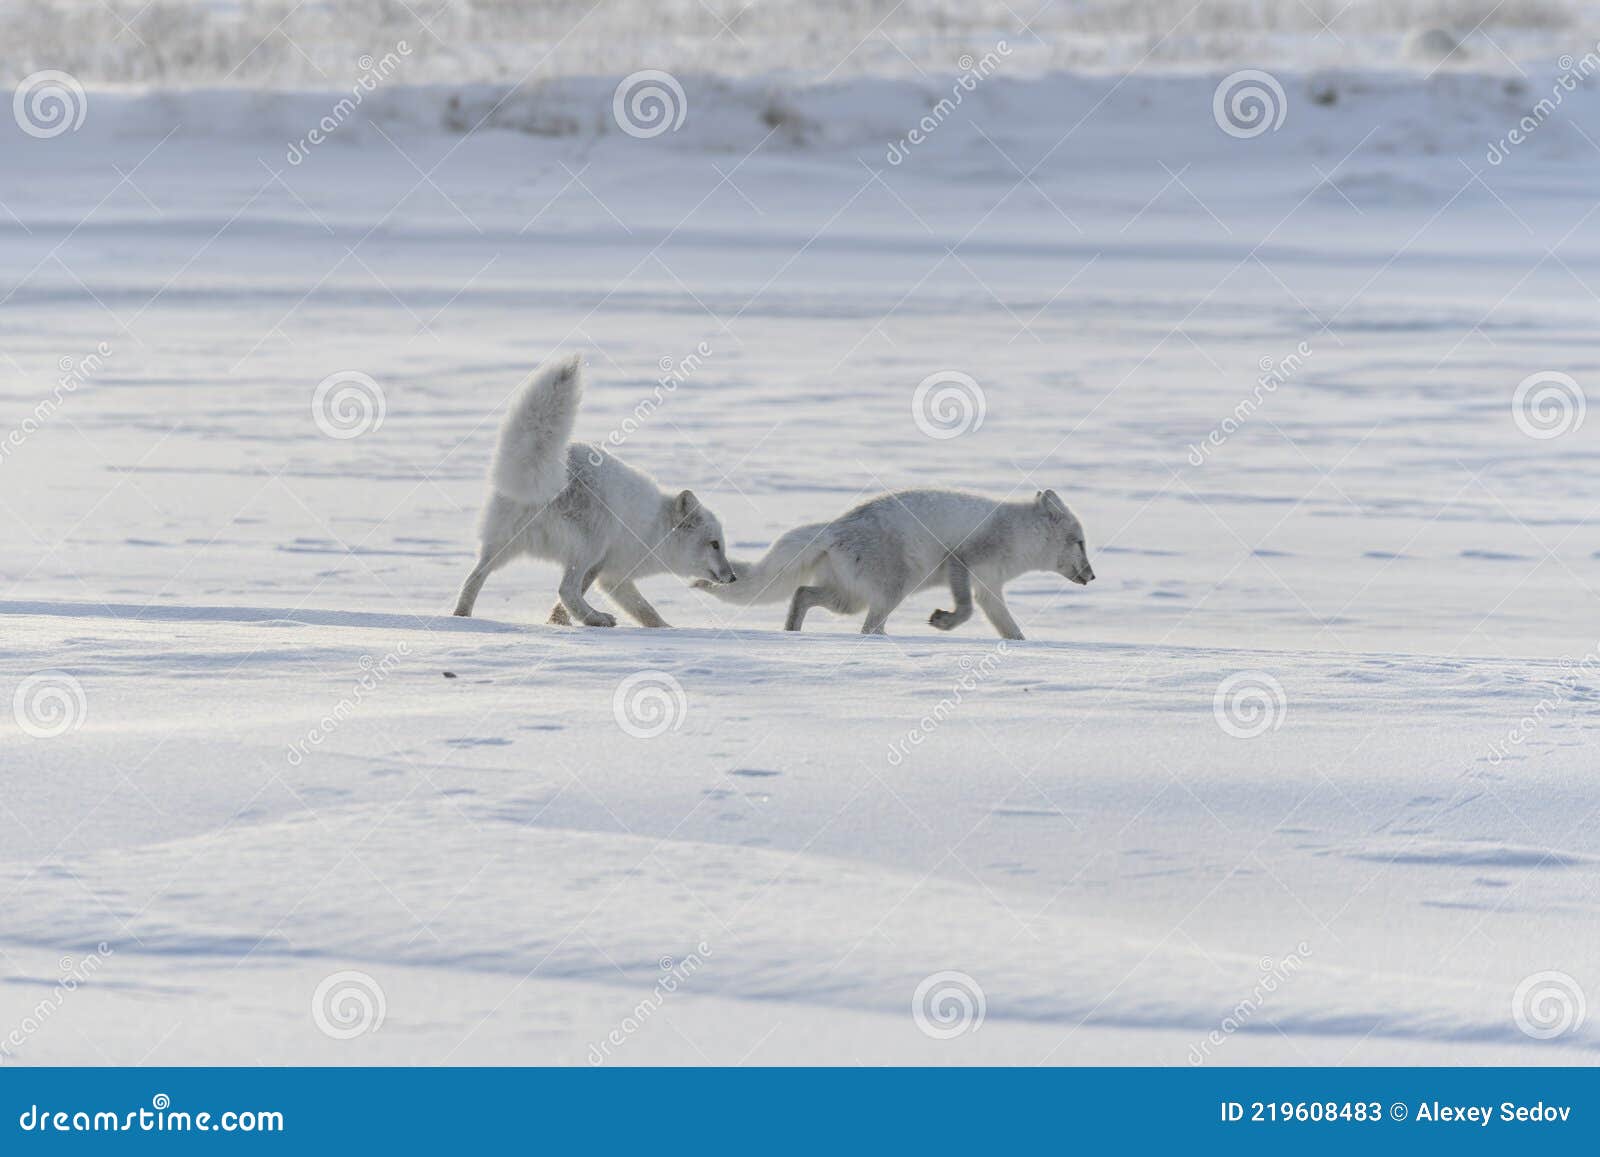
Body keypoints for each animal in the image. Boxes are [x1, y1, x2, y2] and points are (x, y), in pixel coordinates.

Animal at [453, 354, 738, 626]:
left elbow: (644, 610)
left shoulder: (613, 576)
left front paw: (558, 621)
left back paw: (461, 616)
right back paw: (597, 618)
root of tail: (550, 479)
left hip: (502, 545)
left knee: (473, 577)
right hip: (590, 544)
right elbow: (634, 607)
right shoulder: (605, 566)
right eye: (714, 544)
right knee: (565, 589)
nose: (733, 577)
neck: (656, 527)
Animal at [693, 488, 1094, 638]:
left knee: (804, 593)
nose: (1092, 575)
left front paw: (1023, 646)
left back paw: (793, 631)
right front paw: (942, 622)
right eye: (1081, 543)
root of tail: (832, 527)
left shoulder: (989, 589)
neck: (1018, 533)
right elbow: (964, 610)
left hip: (849, 598)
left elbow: (1008, 627)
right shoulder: (961, 561)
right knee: (865, 626)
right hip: (889, 591)